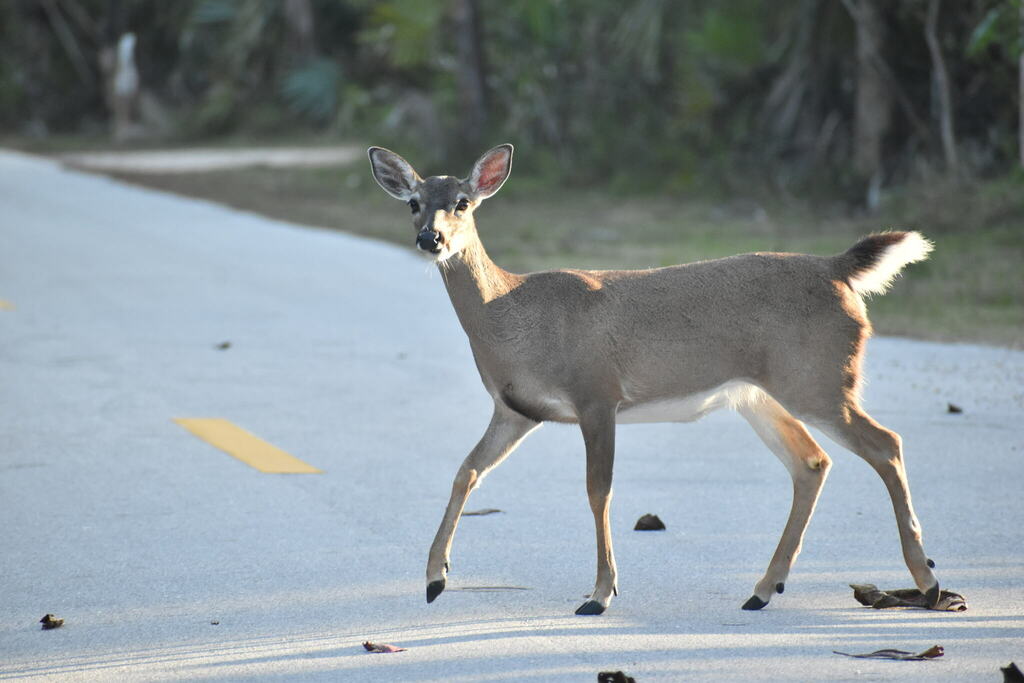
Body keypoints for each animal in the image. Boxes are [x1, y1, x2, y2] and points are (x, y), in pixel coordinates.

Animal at [367, 143, 941, 616]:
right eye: (413, 202)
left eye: (463, 202)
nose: (431, 238)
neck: (510, 318)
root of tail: (838, 270)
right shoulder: (517, 410)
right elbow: (466, 471)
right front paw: (434, 578)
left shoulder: (597, 394)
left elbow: (598, 490)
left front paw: (600, 594)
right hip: (762, 394)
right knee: (812, 462)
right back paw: (762, 589)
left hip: (818, 378)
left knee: (885, 443)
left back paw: (927, 581)